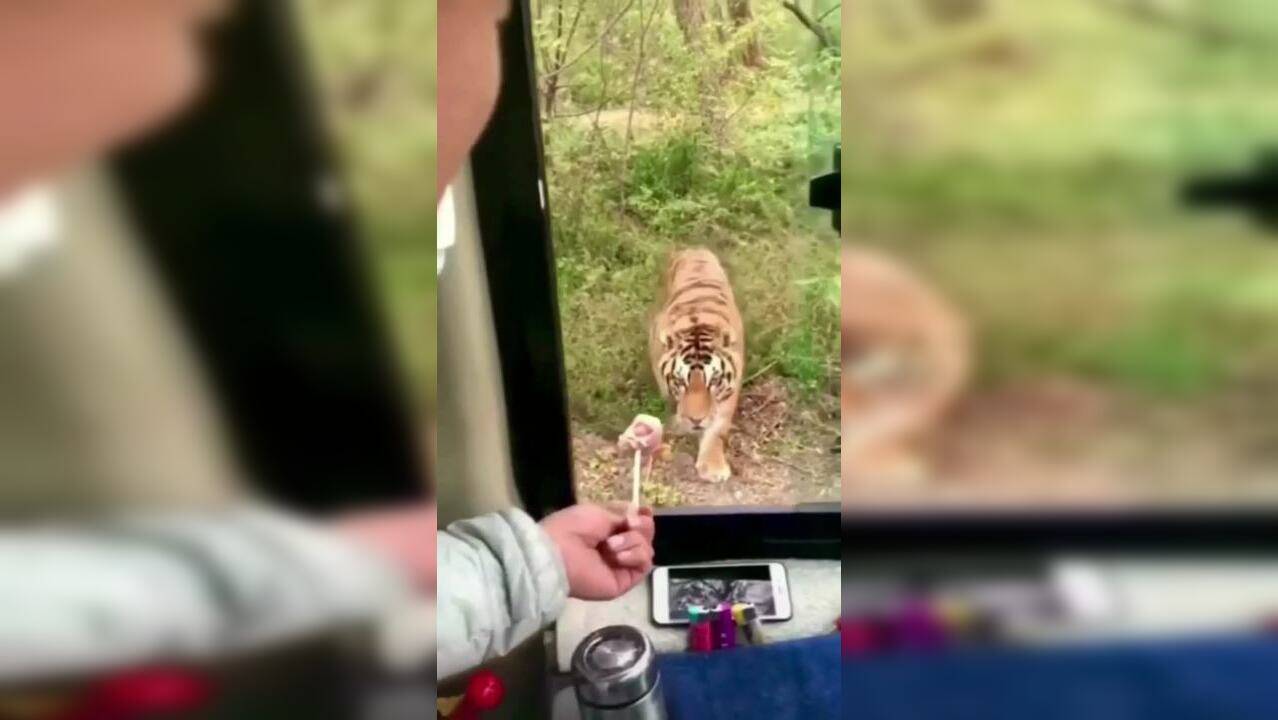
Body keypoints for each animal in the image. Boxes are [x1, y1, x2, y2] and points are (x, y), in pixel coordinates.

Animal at [650, 248, 745, 482]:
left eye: (714, 381)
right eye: (679, 381)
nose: (695, 420)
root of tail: (695, 249)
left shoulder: (730, 388)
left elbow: (717, 426)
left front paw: (712, 466)